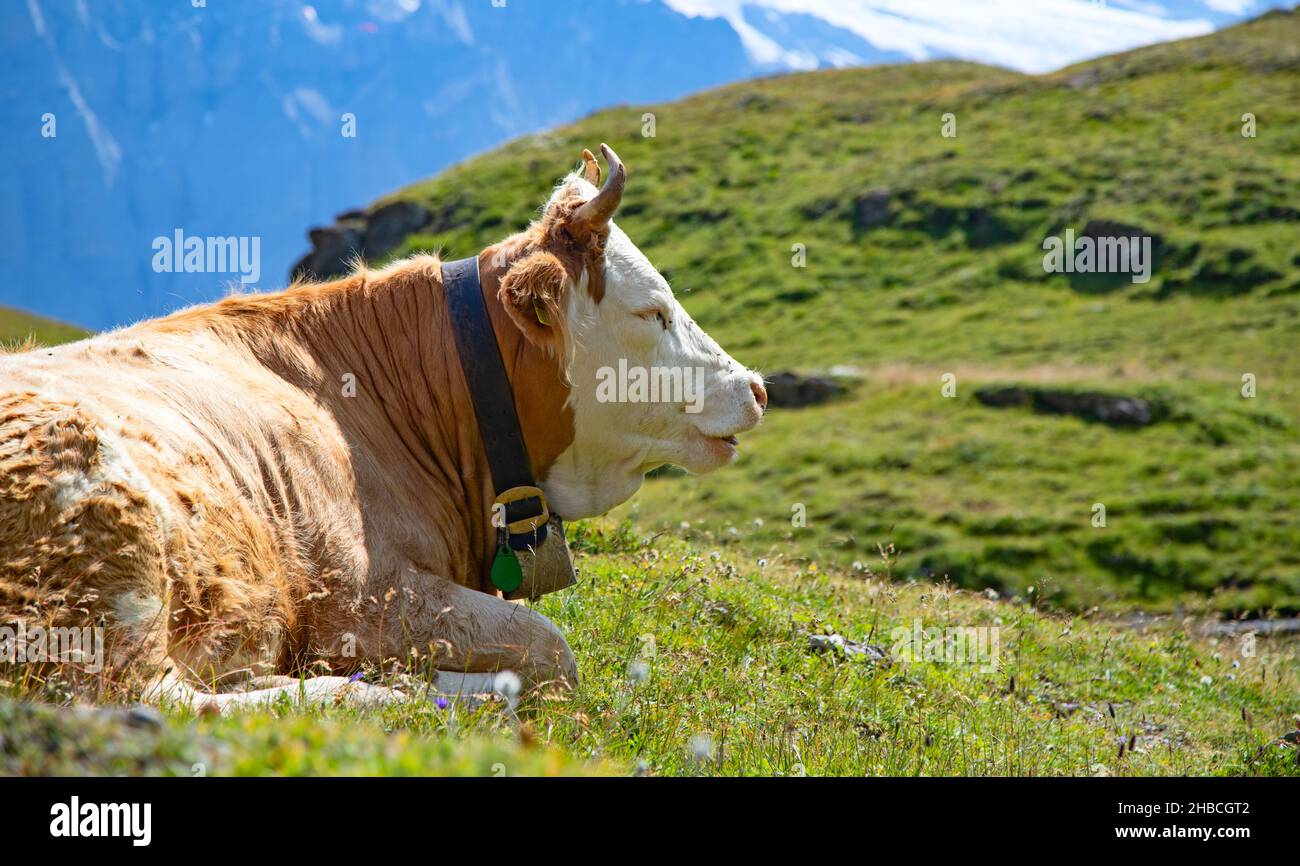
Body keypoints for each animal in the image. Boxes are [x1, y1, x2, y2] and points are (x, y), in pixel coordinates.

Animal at [0, 145, 767, 711]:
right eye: (651, 311)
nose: (755, 388)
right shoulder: (363, 602)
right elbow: (552, 649)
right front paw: (446, 685)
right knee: (153, 700)